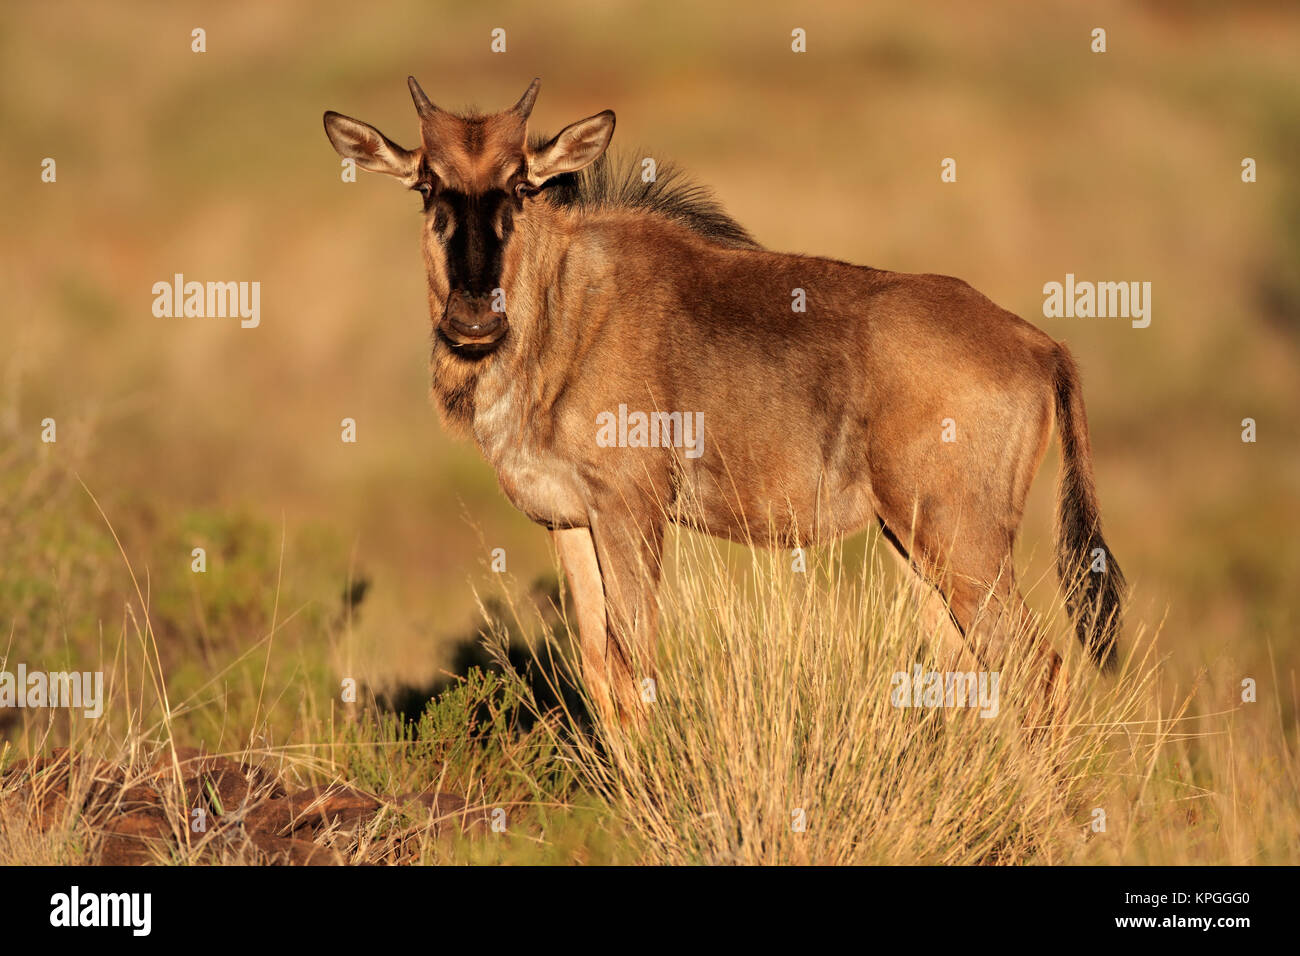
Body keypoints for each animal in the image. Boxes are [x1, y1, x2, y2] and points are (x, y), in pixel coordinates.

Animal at [323, 77, 1126, 725]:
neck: (564, 307)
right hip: (918, 545)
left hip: (964, 545)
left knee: (1038, 668)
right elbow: (600, 673)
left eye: (521, 184)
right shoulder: (570, 521)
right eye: (427, 186)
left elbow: (634, 669)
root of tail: (1040, 345)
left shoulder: (632, 512)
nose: (472, 318)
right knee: (975, 674)